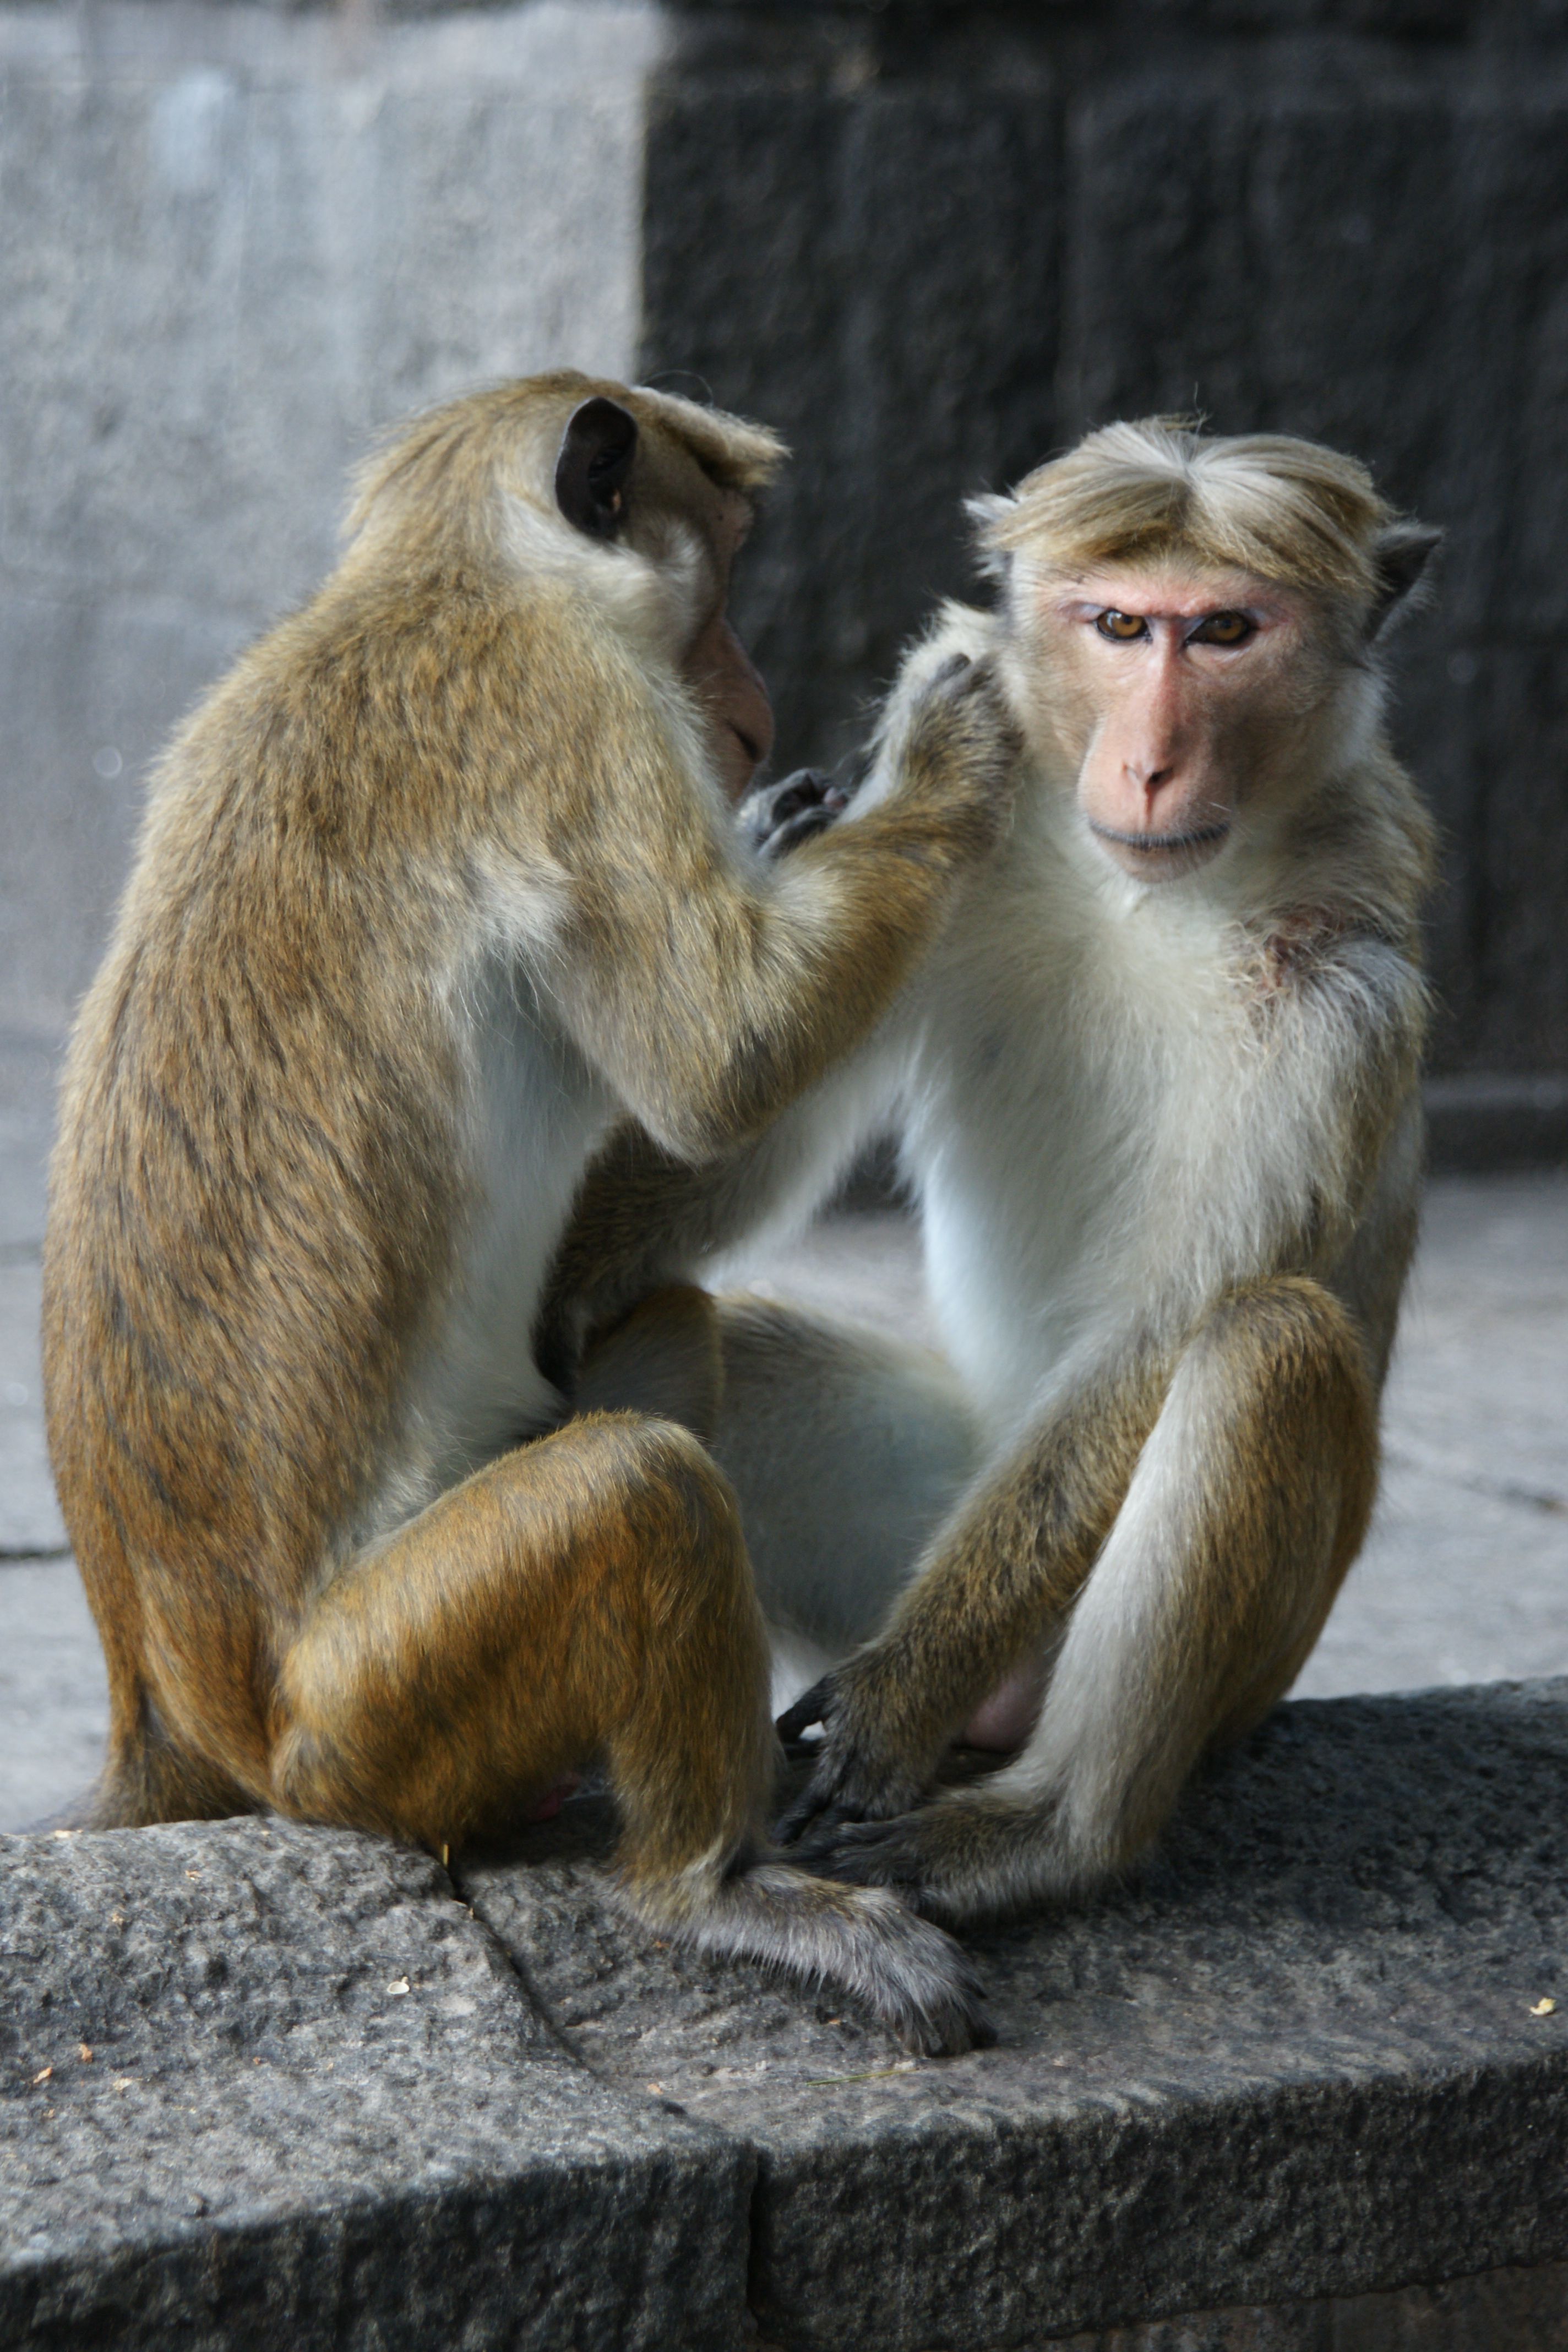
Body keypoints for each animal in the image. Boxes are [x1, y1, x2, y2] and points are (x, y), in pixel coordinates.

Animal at [40, 369, 1019, 2050]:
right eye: (721, 587)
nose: (753, 708)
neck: (445, 577)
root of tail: (186, 1716)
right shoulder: (577, 715)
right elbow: (719, 1062)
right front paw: (941, 750)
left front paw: (799, 826)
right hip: (369, 1719)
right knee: (638, 1489)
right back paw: (710, 1884)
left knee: (661, 1336)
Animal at [542, 418, 1438, 1928]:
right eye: (1120, 625)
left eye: (1224, 631)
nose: (1147, 763)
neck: (1146, 891)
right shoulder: (960, 835)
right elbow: (753, 1132)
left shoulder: (1342, 995)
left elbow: (1154, 1339)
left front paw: (898, 1709)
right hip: (923, 1495)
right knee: (724, 1363)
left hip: (1229, 1658)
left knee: (1260, 1346)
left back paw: (1044, 1826)